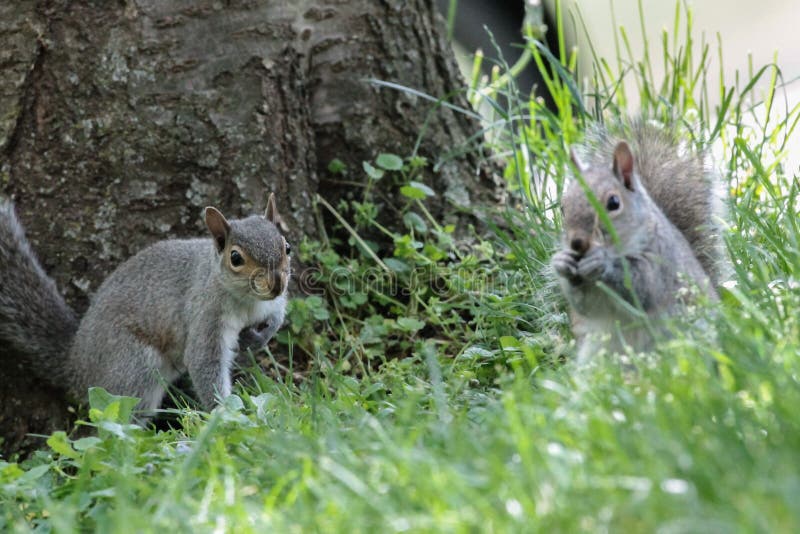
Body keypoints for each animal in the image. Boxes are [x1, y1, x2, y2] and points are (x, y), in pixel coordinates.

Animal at [0, 193, 291, 413]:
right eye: (235, 258)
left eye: (286, 247)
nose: (276, 284)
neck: (248, 301)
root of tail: (76, 364)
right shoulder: (206, 313)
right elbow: (203, 362)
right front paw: (224, 414)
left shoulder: (272, 303)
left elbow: (277, 316)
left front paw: (261, 336)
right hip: (133, 366)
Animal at [551, 120, 724, 359]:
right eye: (563, 207)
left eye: (614, 203)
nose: (577, 243)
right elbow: (584, 305)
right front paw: (562, 262)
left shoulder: (661, 259)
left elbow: (641, 287)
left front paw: (602, 263)